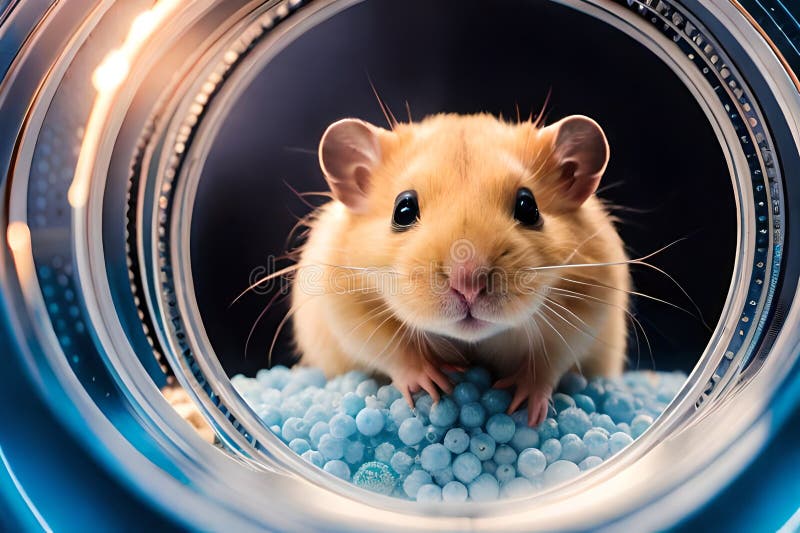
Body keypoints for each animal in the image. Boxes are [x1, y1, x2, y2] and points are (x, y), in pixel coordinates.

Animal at [290, 112, 629, 426]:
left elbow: (551, 358)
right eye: (403, 209)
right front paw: (435, 386)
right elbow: (391, 349)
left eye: (528, 207)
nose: (468, 285)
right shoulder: (345, 308)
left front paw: (524, 403)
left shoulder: (587, 311)